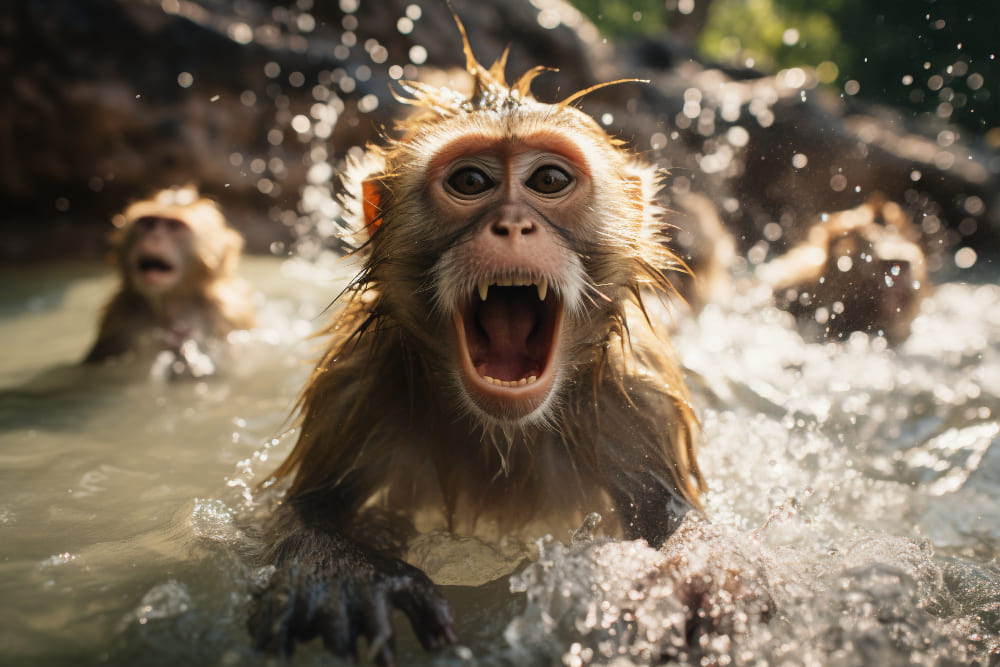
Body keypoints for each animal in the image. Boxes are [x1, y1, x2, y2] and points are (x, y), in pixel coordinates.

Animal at [83, 186, 255, 375]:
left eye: (173, 225)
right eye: (148, 223)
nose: (154, 236)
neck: (171, 304)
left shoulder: (228, 313)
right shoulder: (118, 313)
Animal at [246, 17, 705, 665]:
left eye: (549, 180)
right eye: (470, 181)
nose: (513, 224)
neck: (505, 433)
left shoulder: (640, 398)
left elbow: (672, 520)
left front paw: (682, 581)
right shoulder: (354, 383)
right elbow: (304, 509)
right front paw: (338, 573)